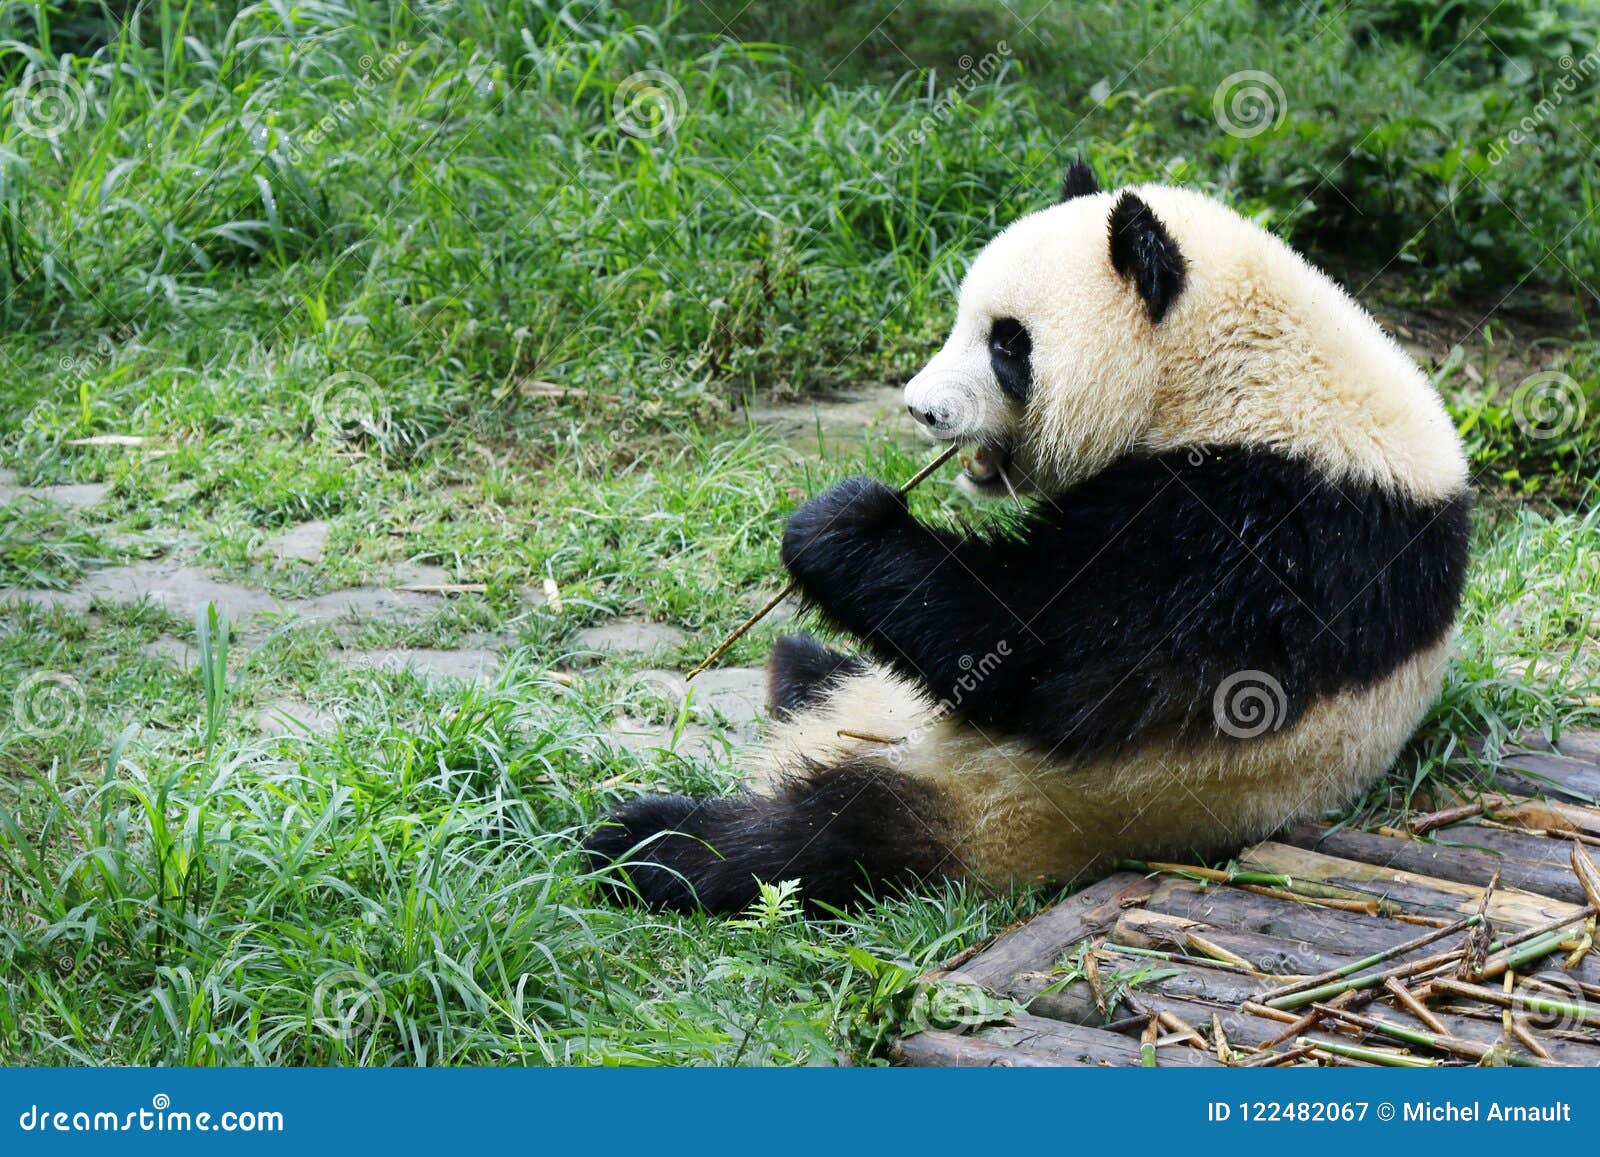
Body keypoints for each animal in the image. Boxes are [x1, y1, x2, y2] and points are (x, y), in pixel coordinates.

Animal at [586, 161, 1472, 913]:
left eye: (1009, 341)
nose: (922, 408)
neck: (1238, 372)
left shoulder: (1277, 533)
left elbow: (1049, 657)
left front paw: (842, 522)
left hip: (1004, 806)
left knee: (819, 839)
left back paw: (648, 842)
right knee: (805, 667)